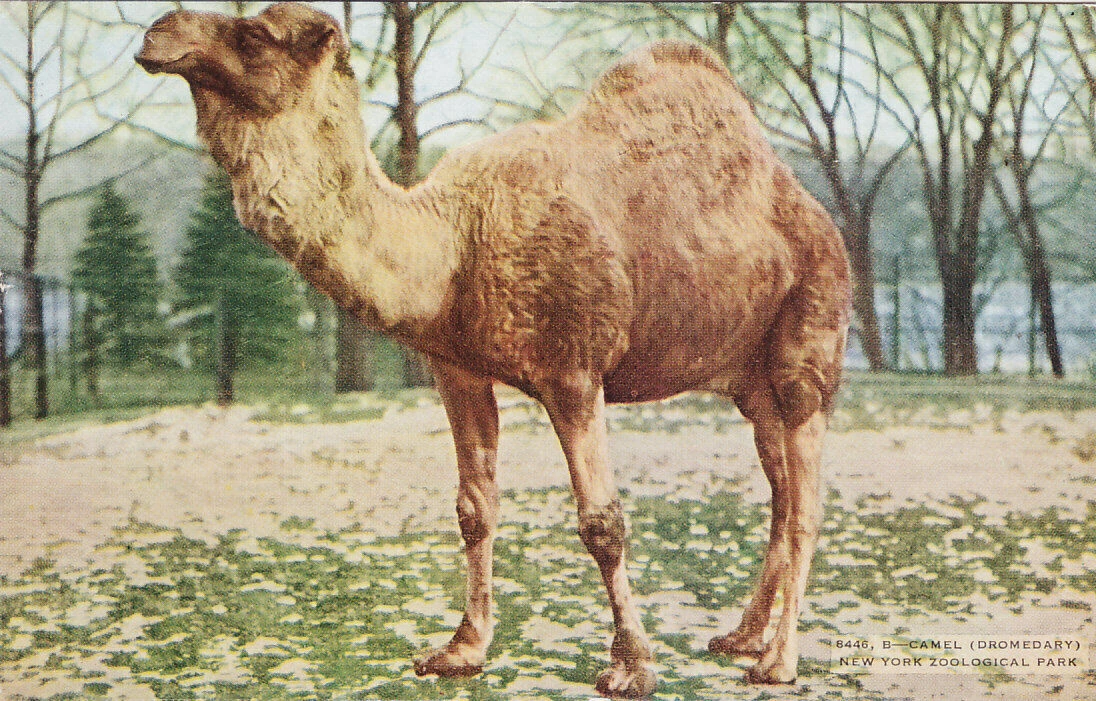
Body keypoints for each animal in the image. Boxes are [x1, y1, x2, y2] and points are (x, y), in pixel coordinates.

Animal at [136, 3, 850, 698]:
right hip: (750, 383)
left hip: (807, 345)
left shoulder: (573, 369)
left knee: (808, 504)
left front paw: (631, 666)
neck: (453, 241)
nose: (158, 32)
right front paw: (461, 650)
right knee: (782, 496)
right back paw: (743, 637)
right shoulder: (456, 369)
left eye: (255, 34)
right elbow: (473, 510)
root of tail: (817, 216)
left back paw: (778, 661)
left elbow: (602, 522)